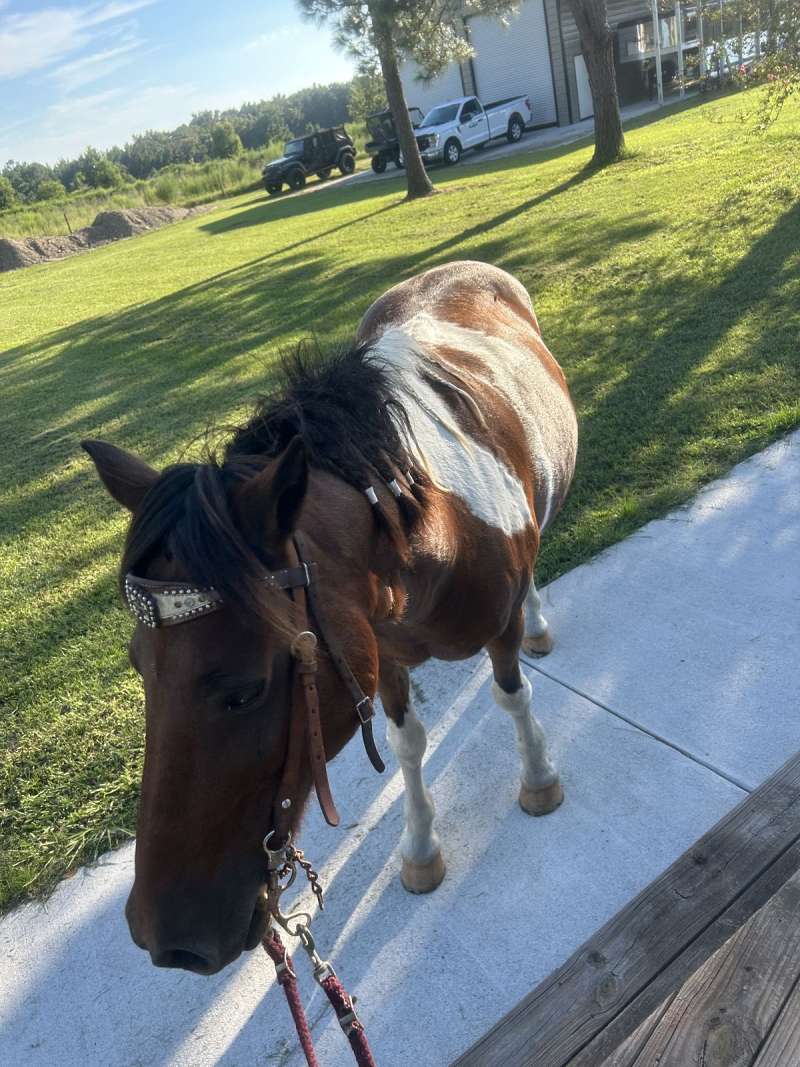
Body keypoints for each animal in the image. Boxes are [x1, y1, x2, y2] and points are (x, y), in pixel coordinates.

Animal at [83, 260, 578, 976]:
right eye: (139, 668)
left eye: (245, 691)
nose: (166, 939)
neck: (432, 528)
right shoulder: (381, 653)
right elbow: (407, 743)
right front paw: (421, 846)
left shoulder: (496, 627)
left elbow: (512, 696)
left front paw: (539, 778)